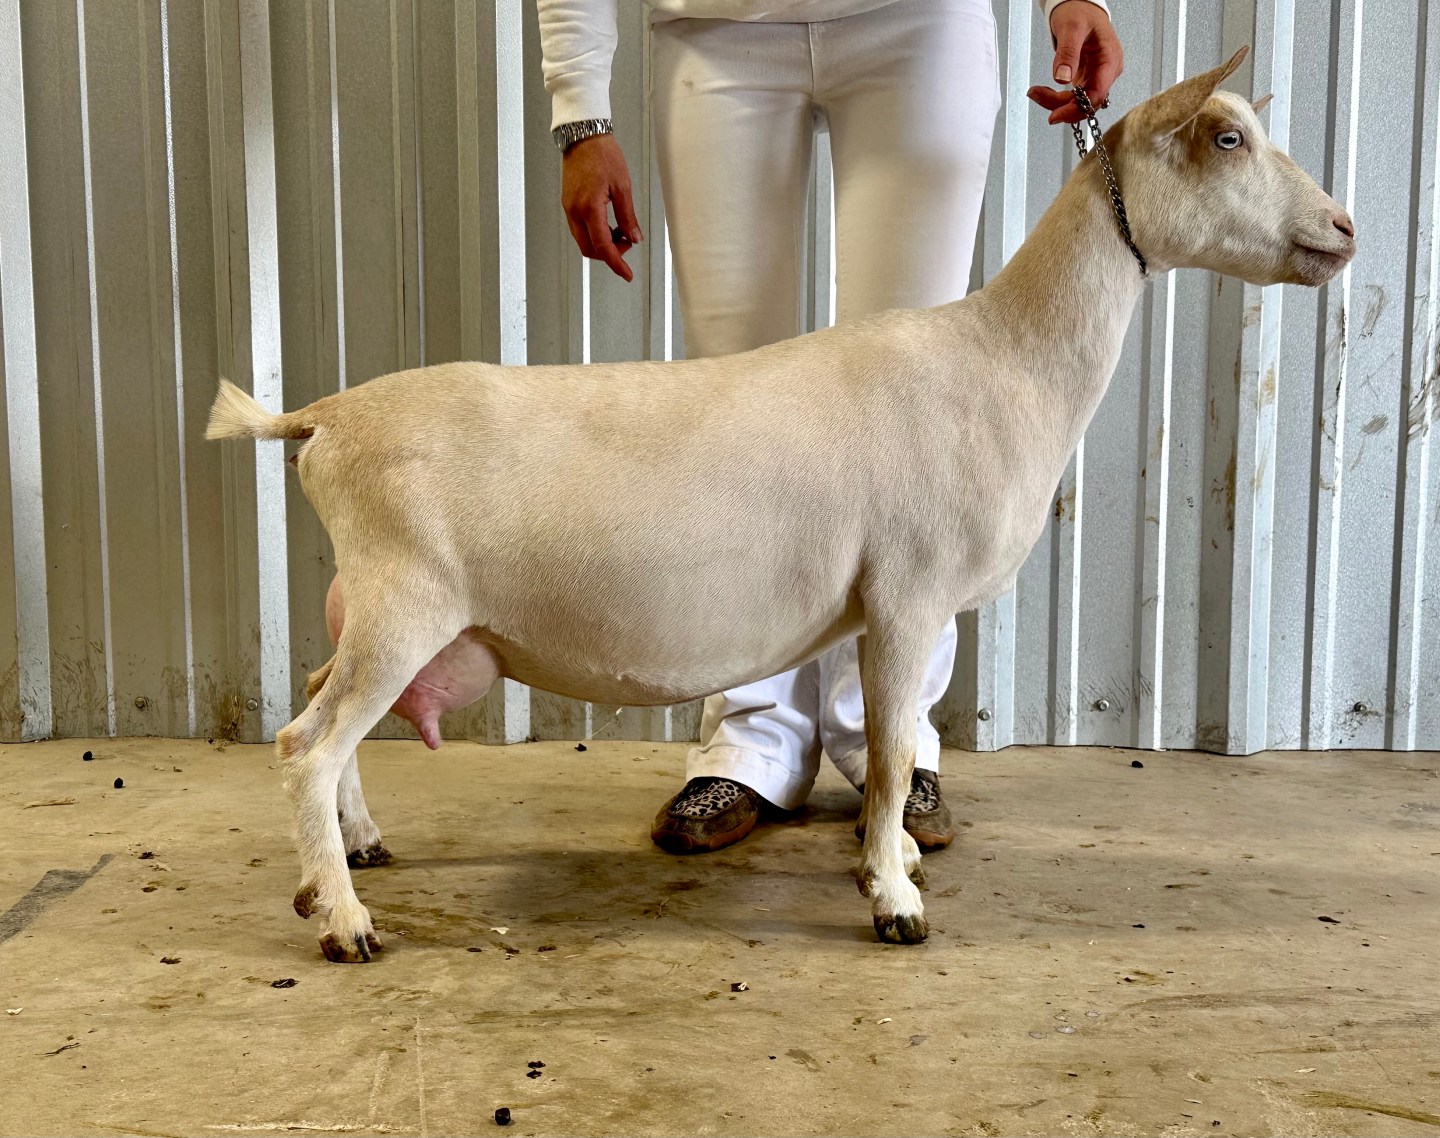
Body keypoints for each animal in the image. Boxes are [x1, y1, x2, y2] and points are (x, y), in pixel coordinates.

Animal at [207, 47, 1355, 963]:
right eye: (1227, 137)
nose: (1343, 230)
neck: (1006, 360)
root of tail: (322, 419)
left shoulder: (885, 606)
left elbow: (892, 762)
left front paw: (895, 864)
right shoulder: (907, 596)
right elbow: (889, 761)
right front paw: (894, 901)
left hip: (381, 609)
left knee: (318, 705)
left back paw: (355, 853)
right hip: (404, 599)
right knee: (306, 743)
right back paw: (344, 923)